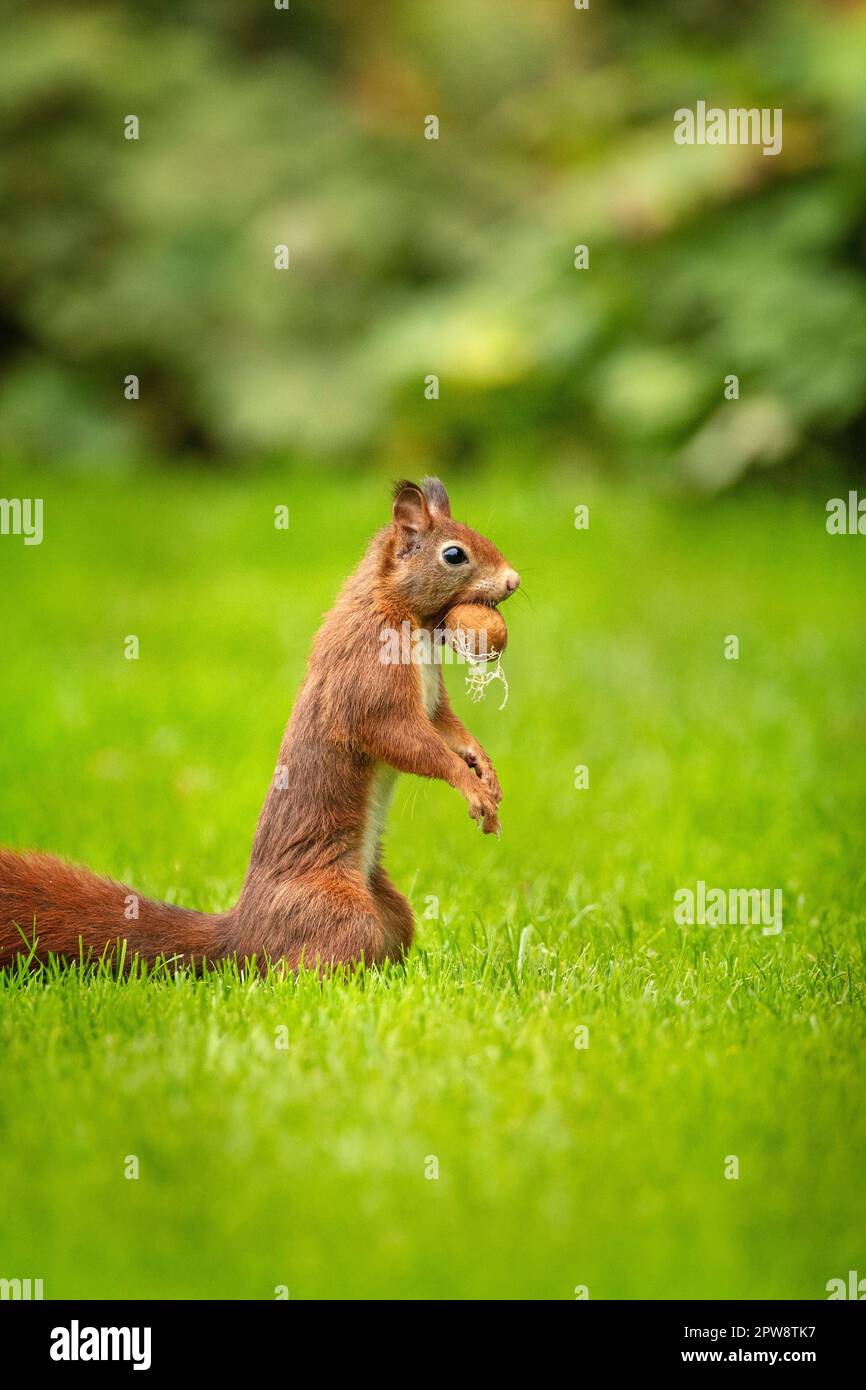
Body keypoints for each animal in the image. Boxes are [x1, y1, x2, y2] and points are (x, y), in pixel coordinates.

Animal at [0, 478, 520, 971]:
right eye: (454, 554)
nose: (514, 580)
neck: (409, 619)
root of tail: (242, 938)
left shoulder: (432, 702)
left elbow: (446, 726)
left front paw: (484, 768)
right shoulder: (368, 681)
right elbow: (406, 740)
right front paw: (470, 787)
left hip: (393, 912)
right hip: (340, 912)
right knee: (298, 968)